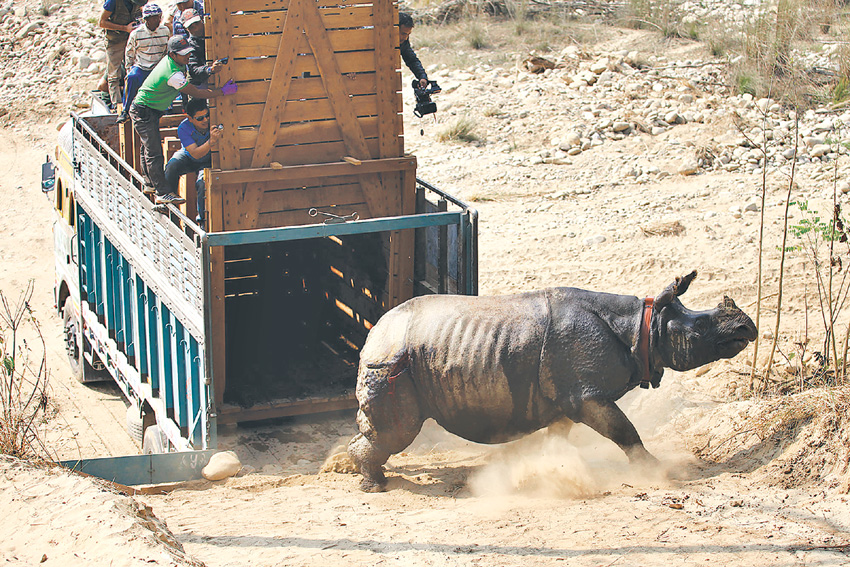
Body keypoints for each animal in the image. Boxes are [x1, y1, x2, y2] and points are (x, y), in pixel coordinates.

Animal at [347, 271, 757, 492]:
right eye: (700, 329)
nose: (748, 328)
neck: (644, 325)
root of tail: (373, 332)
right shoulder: (588, 395)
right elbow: (626, 432)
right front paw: (656, 472)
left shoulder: (568, 397)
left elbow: (558, 435)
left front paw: (552, 468)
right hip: (394, 361)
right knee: (397, 432)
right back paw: (374, 484)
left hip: (404, 355)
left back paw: (363, 473)